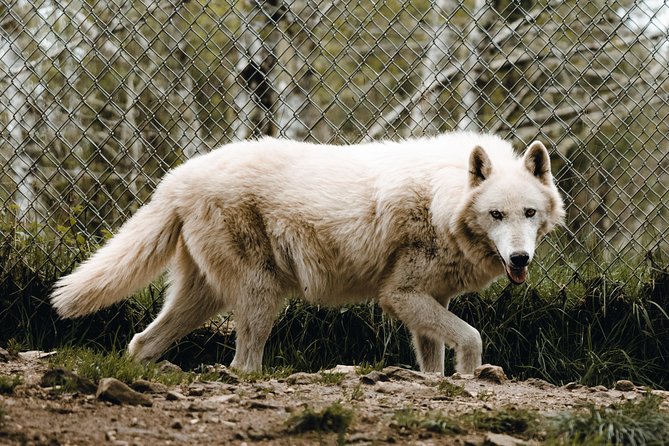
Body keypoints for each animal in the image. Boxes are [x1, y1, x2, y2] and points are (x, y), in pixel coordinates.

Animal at [51, 132, 564, 375]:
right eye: (496, 214)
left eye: (529, 213)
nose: (520, 259)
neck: (442, 199)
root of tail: (175, 178)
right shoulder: (399, 295)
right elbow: (472, 337)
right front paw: (472, 379)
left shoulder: (430, 300)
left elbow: (433, 360)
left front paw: (440, 382)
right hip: (261, 296)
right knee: (242, 364)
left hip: (203, 300)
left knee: (141, 342)